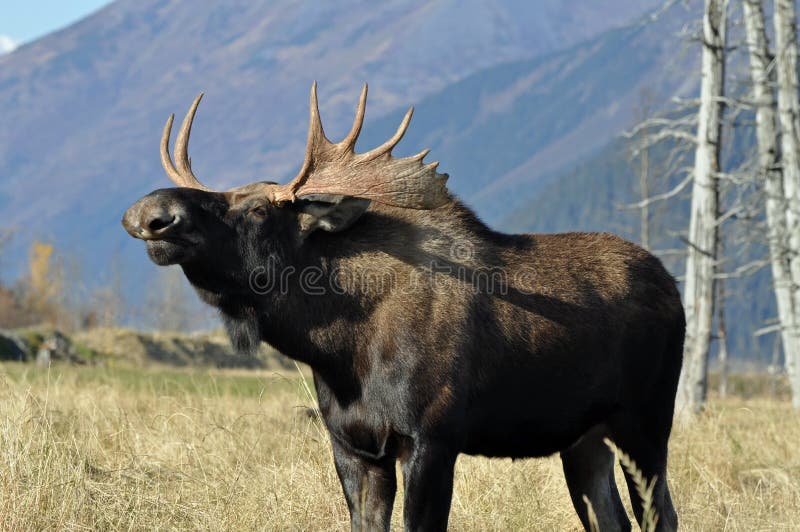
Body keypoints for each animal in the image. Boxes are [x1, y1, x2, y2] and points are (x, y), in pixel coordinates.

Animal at [122, 84, 683, 531]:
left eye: (259, 209)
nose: (151, 212)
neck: (339, 351)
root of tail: (673, 288)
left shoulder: (430, 440)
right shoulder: (352, 446)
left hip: (645, 425)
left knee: (661, 515)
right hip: (585, 440)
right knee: (612, 520)